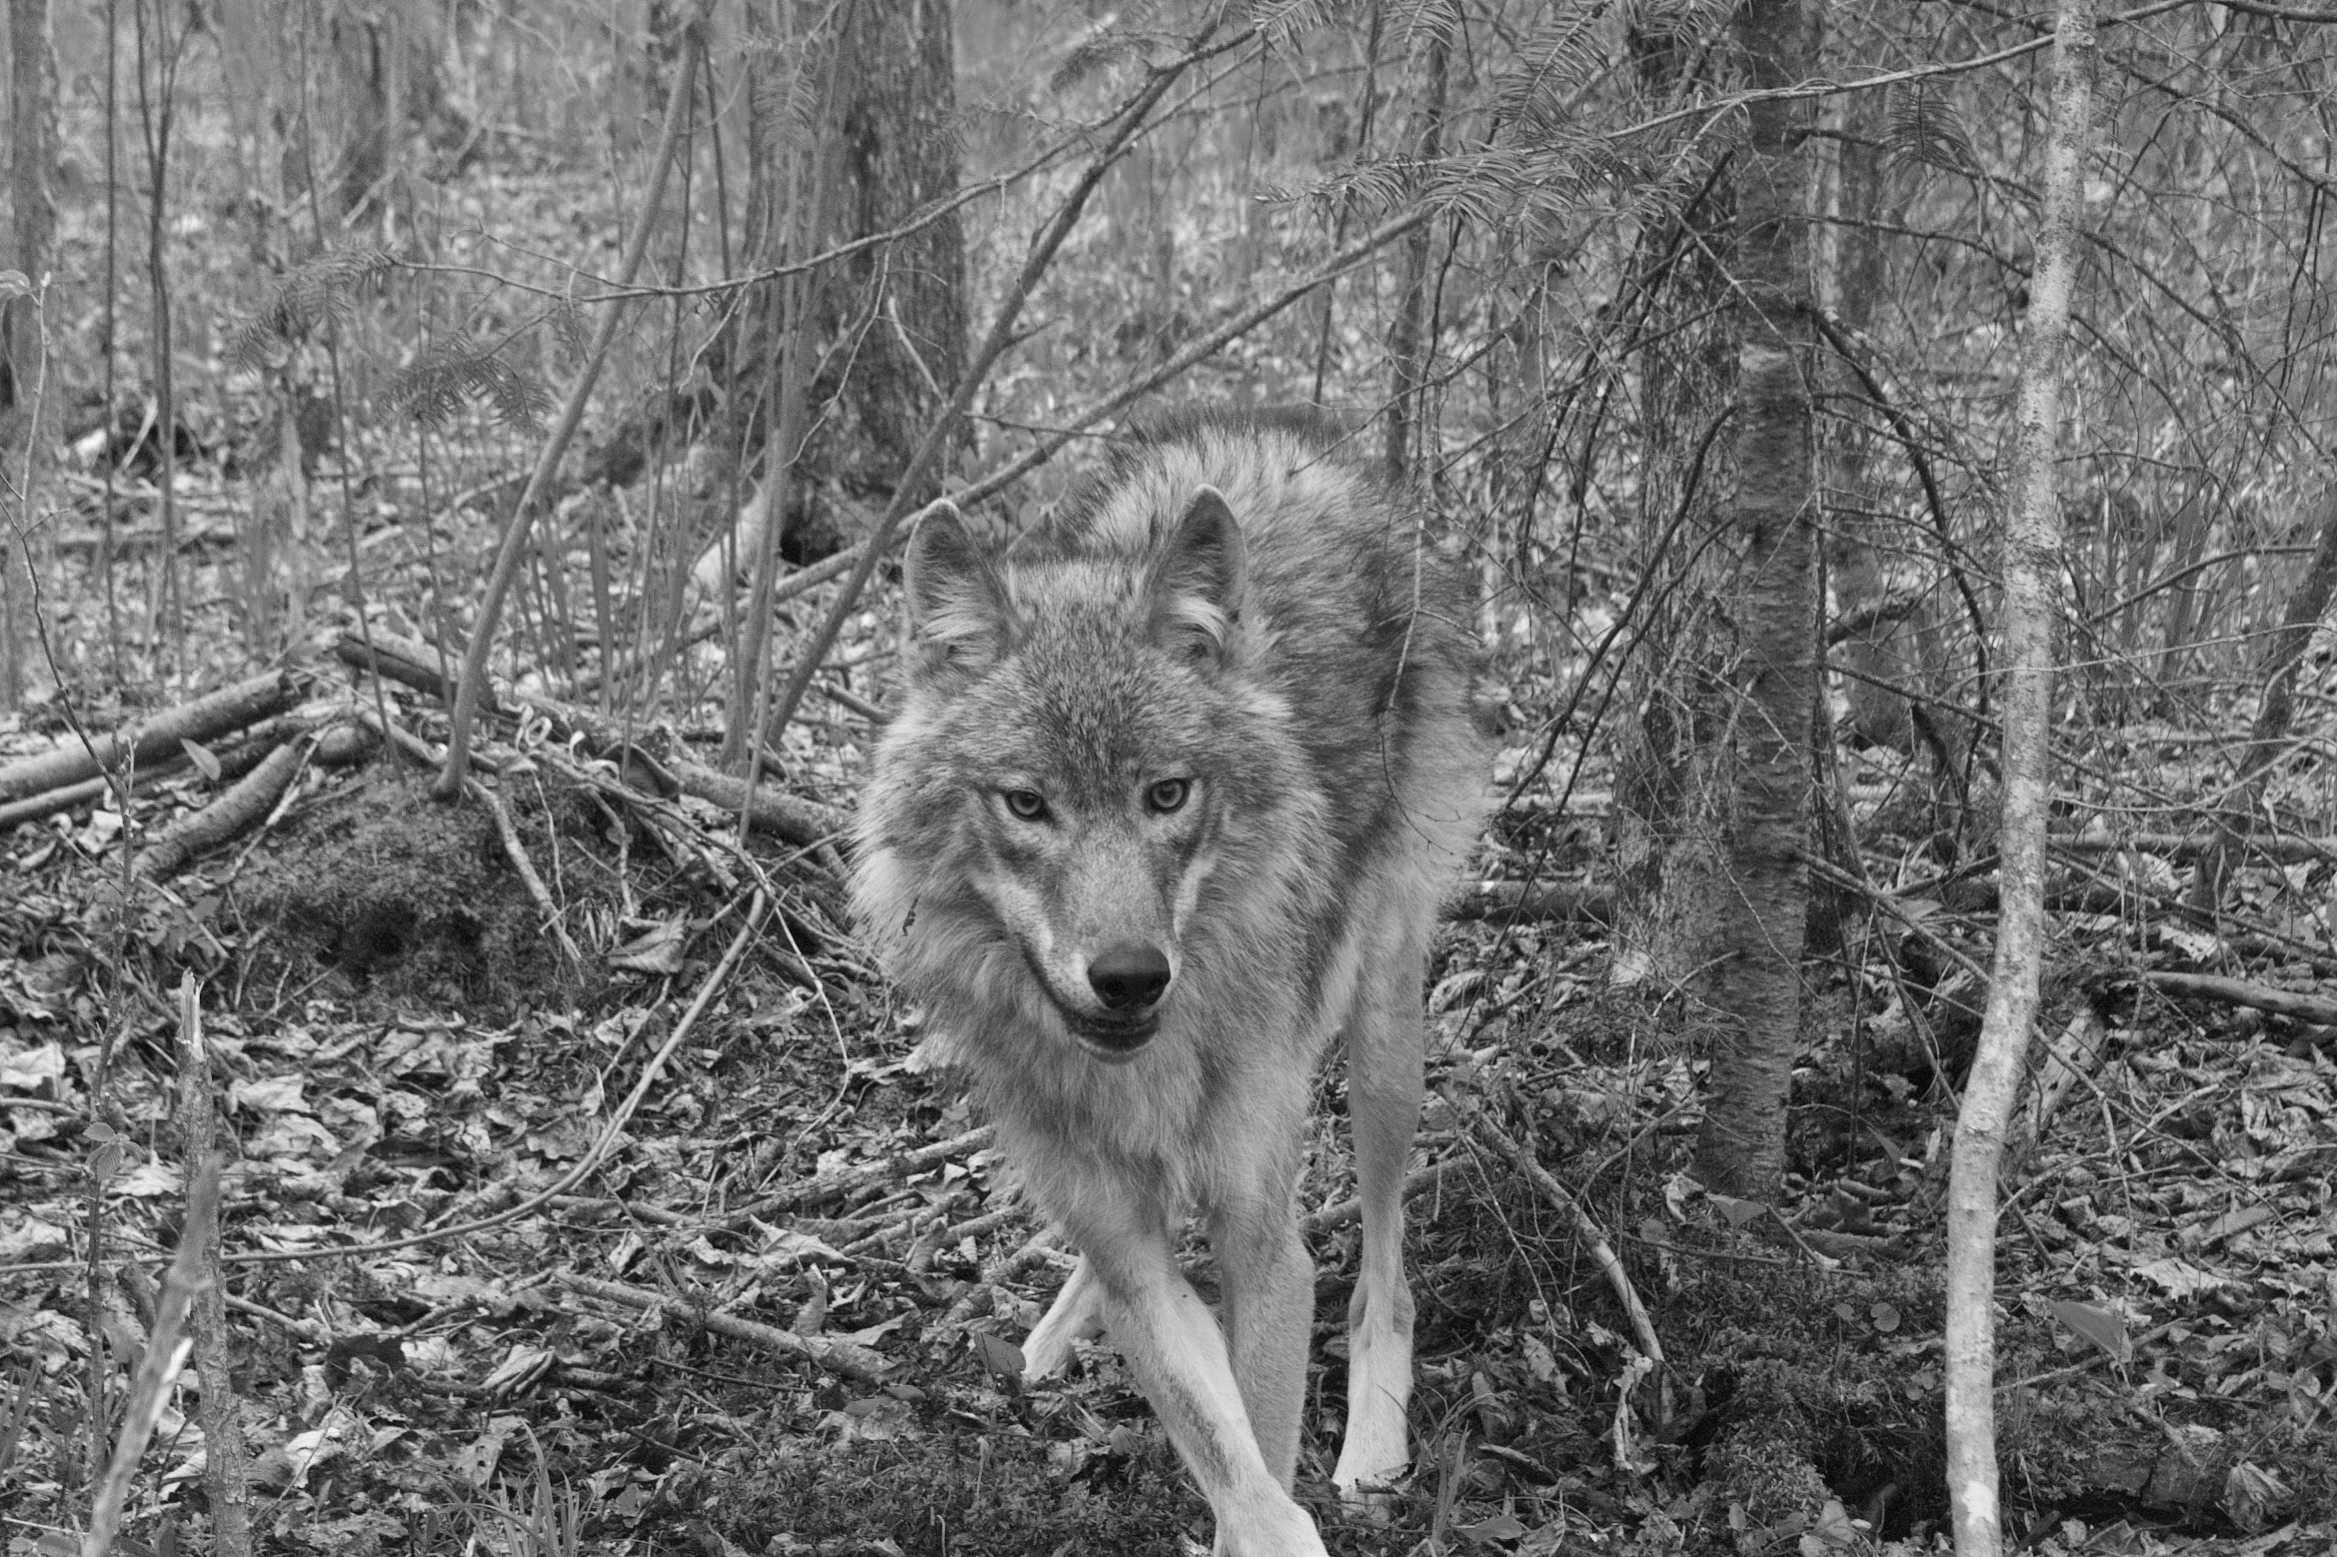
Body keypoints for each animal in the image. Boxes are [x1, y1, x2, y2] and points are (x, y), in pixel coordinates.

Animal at [853, 409, 1486, 1556]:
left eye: (1166, 794)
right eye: (1026, 803)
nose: (1130, 977)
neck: (1145, 1070)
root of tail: (1267, 437)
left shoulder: (1267, 1251)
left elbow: (1259, 1468)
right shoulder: (1137, 1262)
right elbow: (1222, 1447)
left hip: (1384, 1038)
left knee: (1387, 1275)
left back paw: (1374, 1445)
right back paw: (1047, 1341)